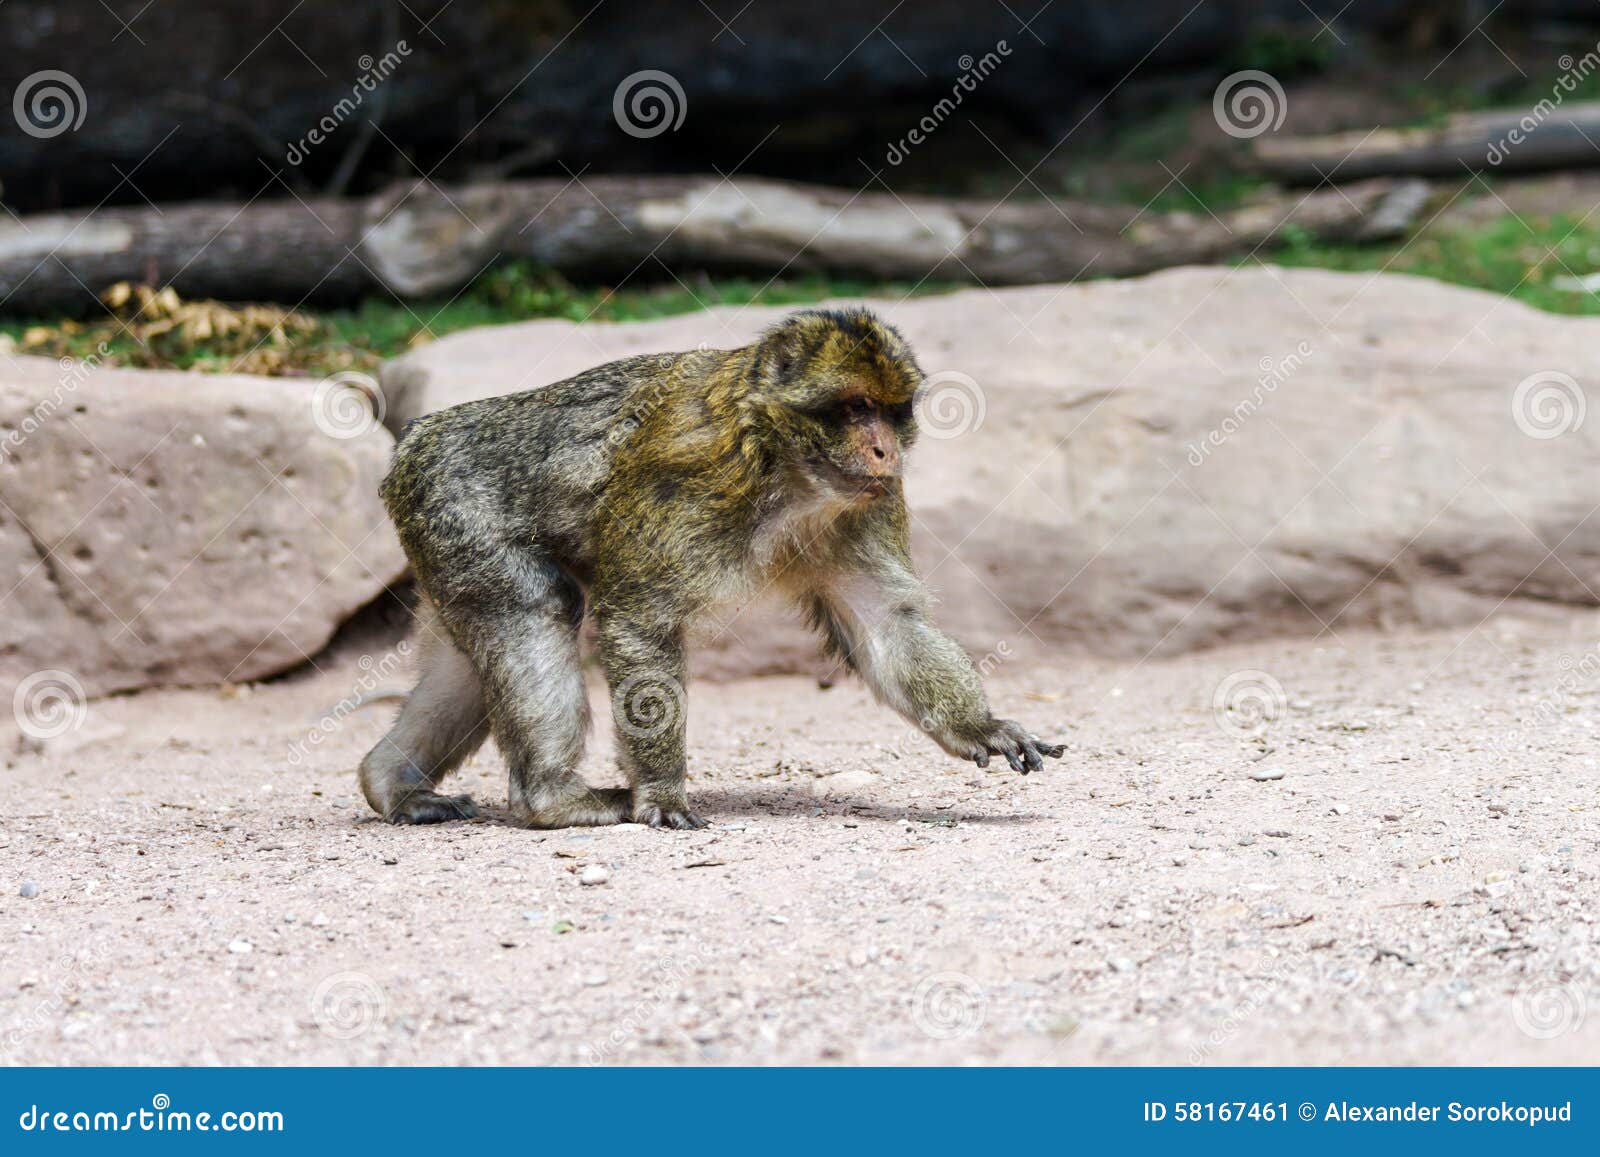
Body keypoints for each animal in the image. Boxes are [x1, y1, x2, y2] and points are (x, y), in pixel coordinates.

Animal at [358, 307, 1065, 830]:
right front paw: (663, 791)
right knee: (538, 609)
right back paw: (551, 799)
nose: (885, 450)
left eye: (892, 411)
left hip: (444, 542)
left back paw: (392, 785)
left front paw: (979, 726)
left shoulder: (870, 504)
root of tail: (416, 438)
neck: (784, 464)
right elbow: (640, 621)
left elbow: (888, 625)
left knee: (473, 652)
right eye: (855, 407)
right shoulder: (684, 479)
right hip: (457, 508)